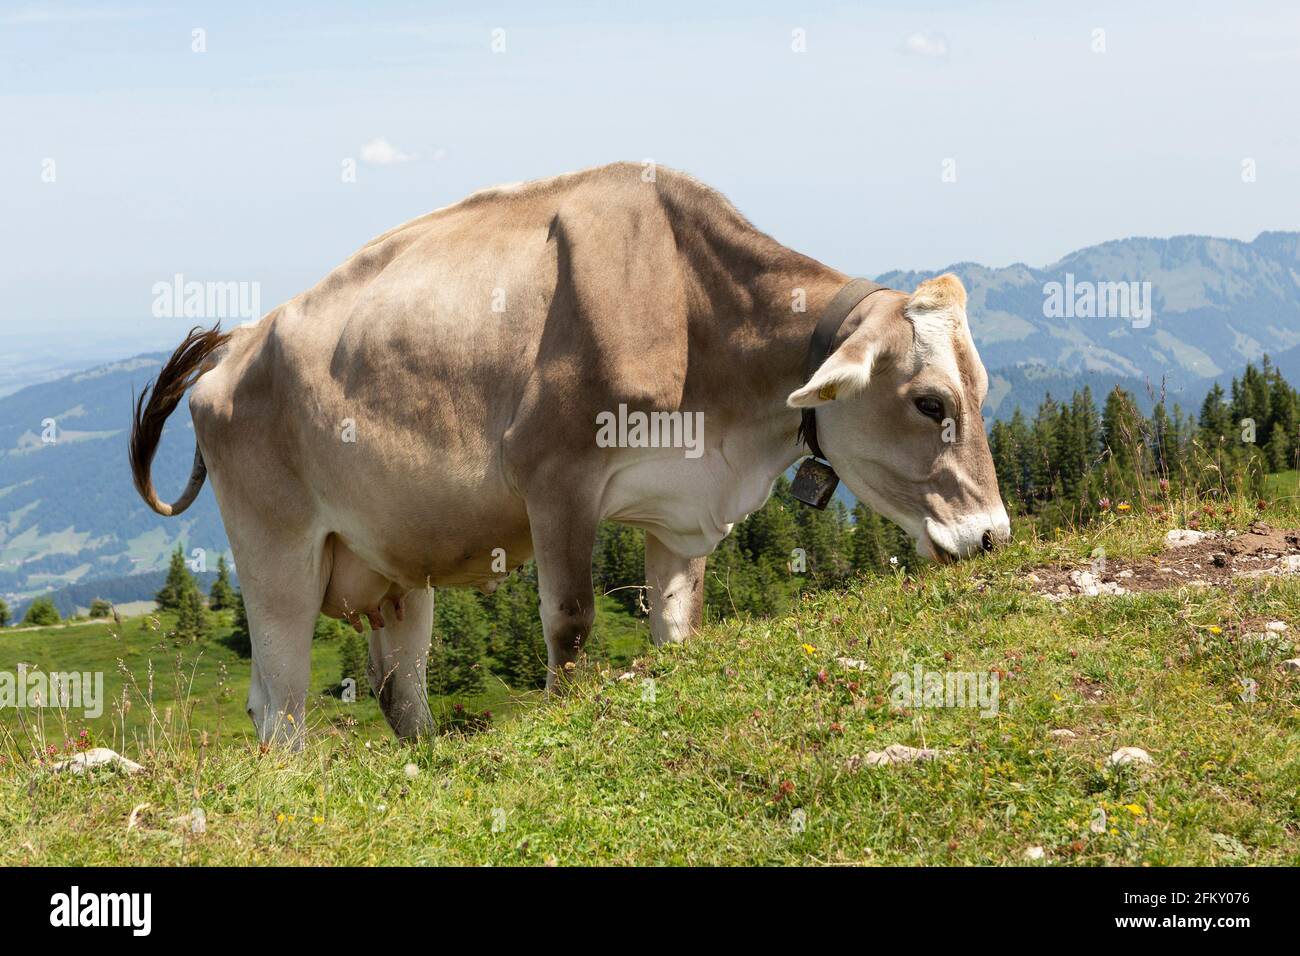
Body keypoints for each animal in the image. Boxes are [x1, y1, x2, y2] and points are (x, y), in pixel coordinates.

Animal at [129, 162, 1010, 746]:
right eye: (931, 402)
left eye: (982, 389)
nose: (993, 535)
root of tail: (237, 346)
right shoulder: (554, 476)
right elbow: (572, 623)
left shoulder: (682, 514)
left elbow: (678, 626)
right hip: (275, 551)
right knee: (278, 704)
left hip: (393, 570)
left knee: (398, 689)